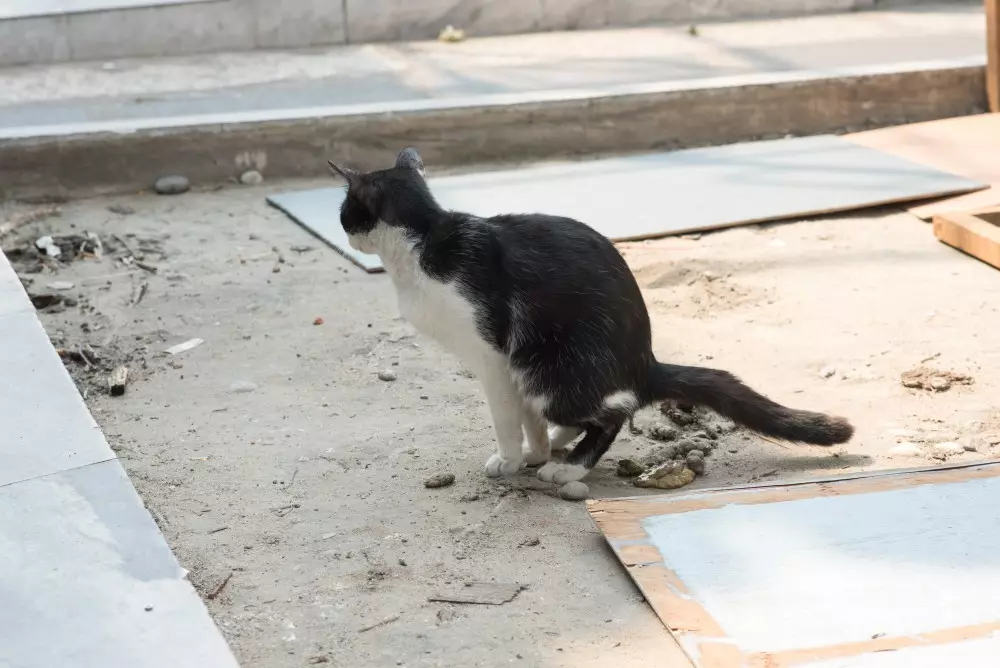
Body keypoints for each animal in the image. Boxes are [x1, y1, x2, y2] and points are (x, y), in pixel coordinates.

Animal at [330, 147, 852, 486]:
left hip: (550, 368)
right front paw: (535, 449)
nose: (346, 233)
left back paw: (570, 466)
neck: (423, 244)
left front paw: (513, 459)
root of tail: (645, 362)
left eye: (345, 211)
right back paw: (559, 441)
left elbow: (506, 417)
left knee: (613, 412)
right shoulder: (506, 367)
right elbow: (525, 418)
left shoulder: (494, 358)